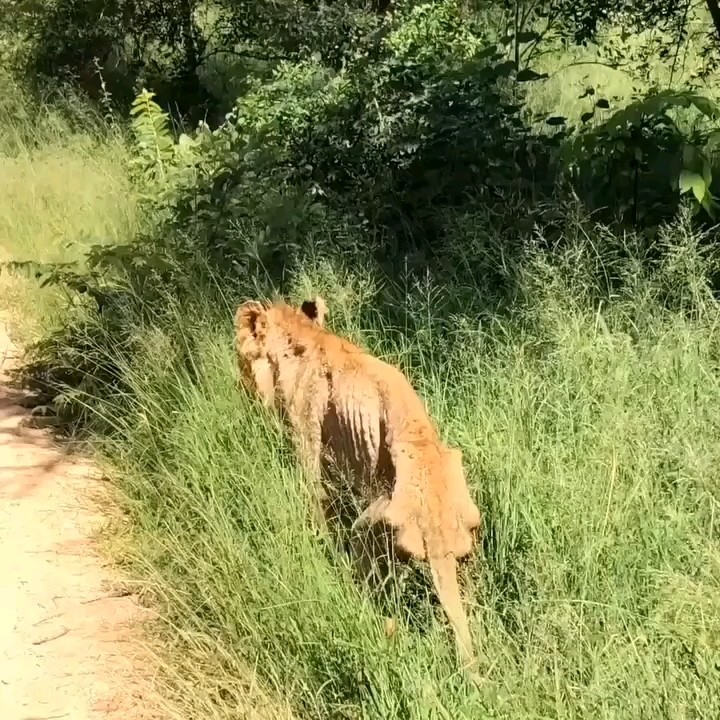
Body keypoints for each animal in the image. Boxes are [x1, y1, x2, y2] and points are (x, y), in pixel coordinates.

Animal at [233, 296, 482, 672]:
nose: (238, 382)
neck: (305, 340)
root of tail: (435, 527)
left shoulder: (307, 445)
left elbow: (317, 508)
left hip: (372, 523)